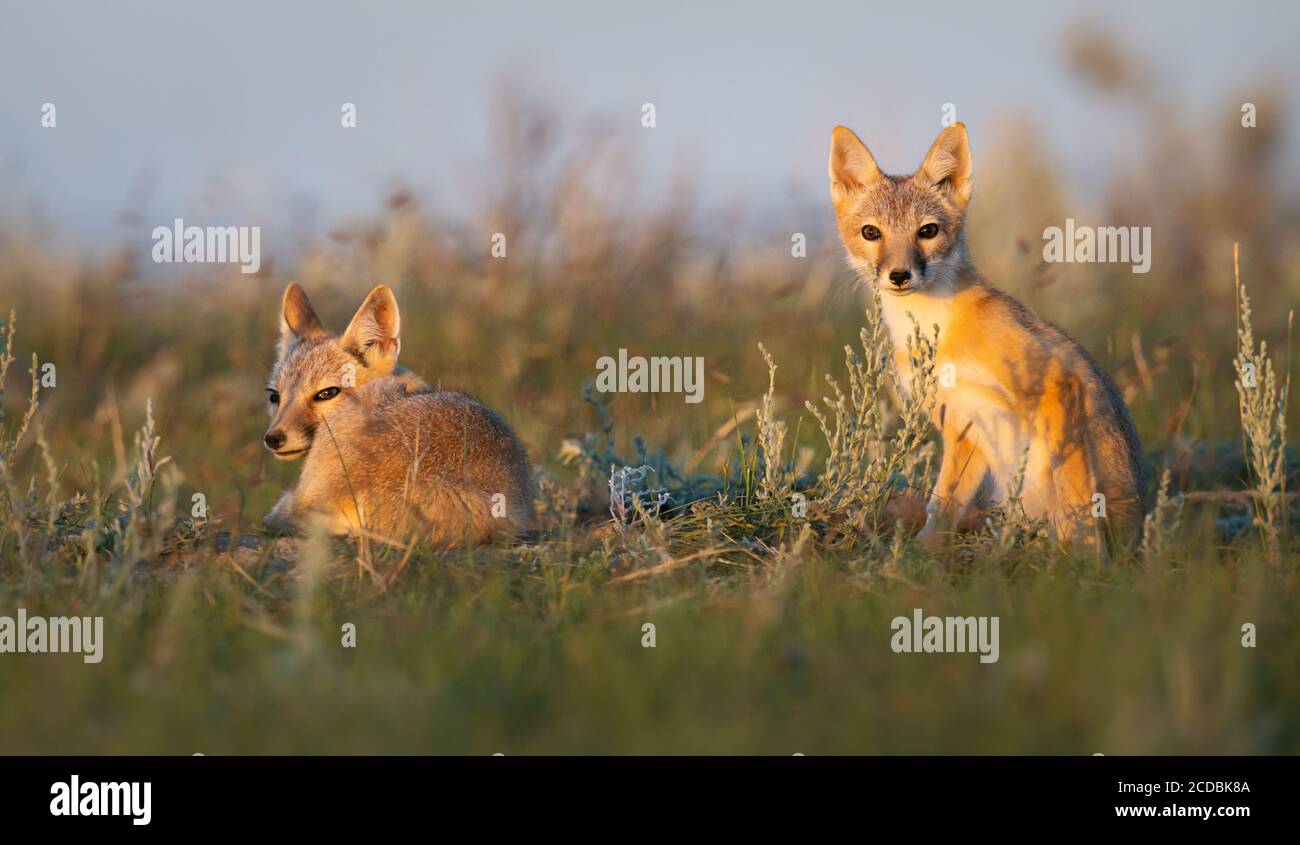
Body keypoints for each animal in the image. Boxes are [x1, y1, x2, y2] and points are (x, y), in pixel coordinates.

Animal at [828, 122, 1146, 547]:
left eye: (928, 231)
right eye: (870, 232)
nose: (899, 275)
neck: (941, 331)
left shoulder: (1061, 380)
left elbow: (1078, 500)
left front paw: (1085, 559)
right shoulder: (963, 429)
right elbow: (941, 506)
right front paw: (920, 555)